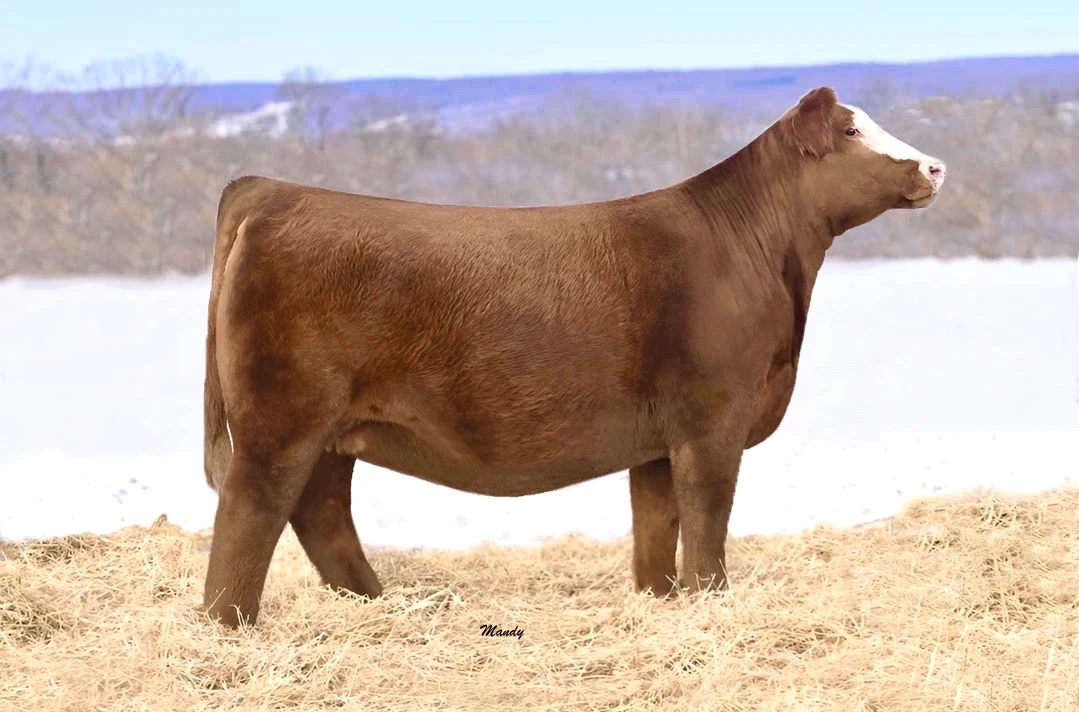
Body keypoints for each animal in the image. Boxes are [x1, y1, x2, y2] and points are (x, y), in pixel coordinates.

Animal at [200, 86, 946, 628]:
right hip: (281, 419)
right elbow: (707, 519)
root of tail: (271, 190)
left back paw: (381, 606)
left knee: (320, 511)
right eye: (850, 133)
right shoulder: (712, 420)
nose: (935, 166)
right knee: (251, 508)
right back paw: (230, 625)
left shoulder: (657, 439)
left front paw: (660, 601)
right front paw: (711, 599)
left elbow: (656, 525)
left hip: (333, 432)